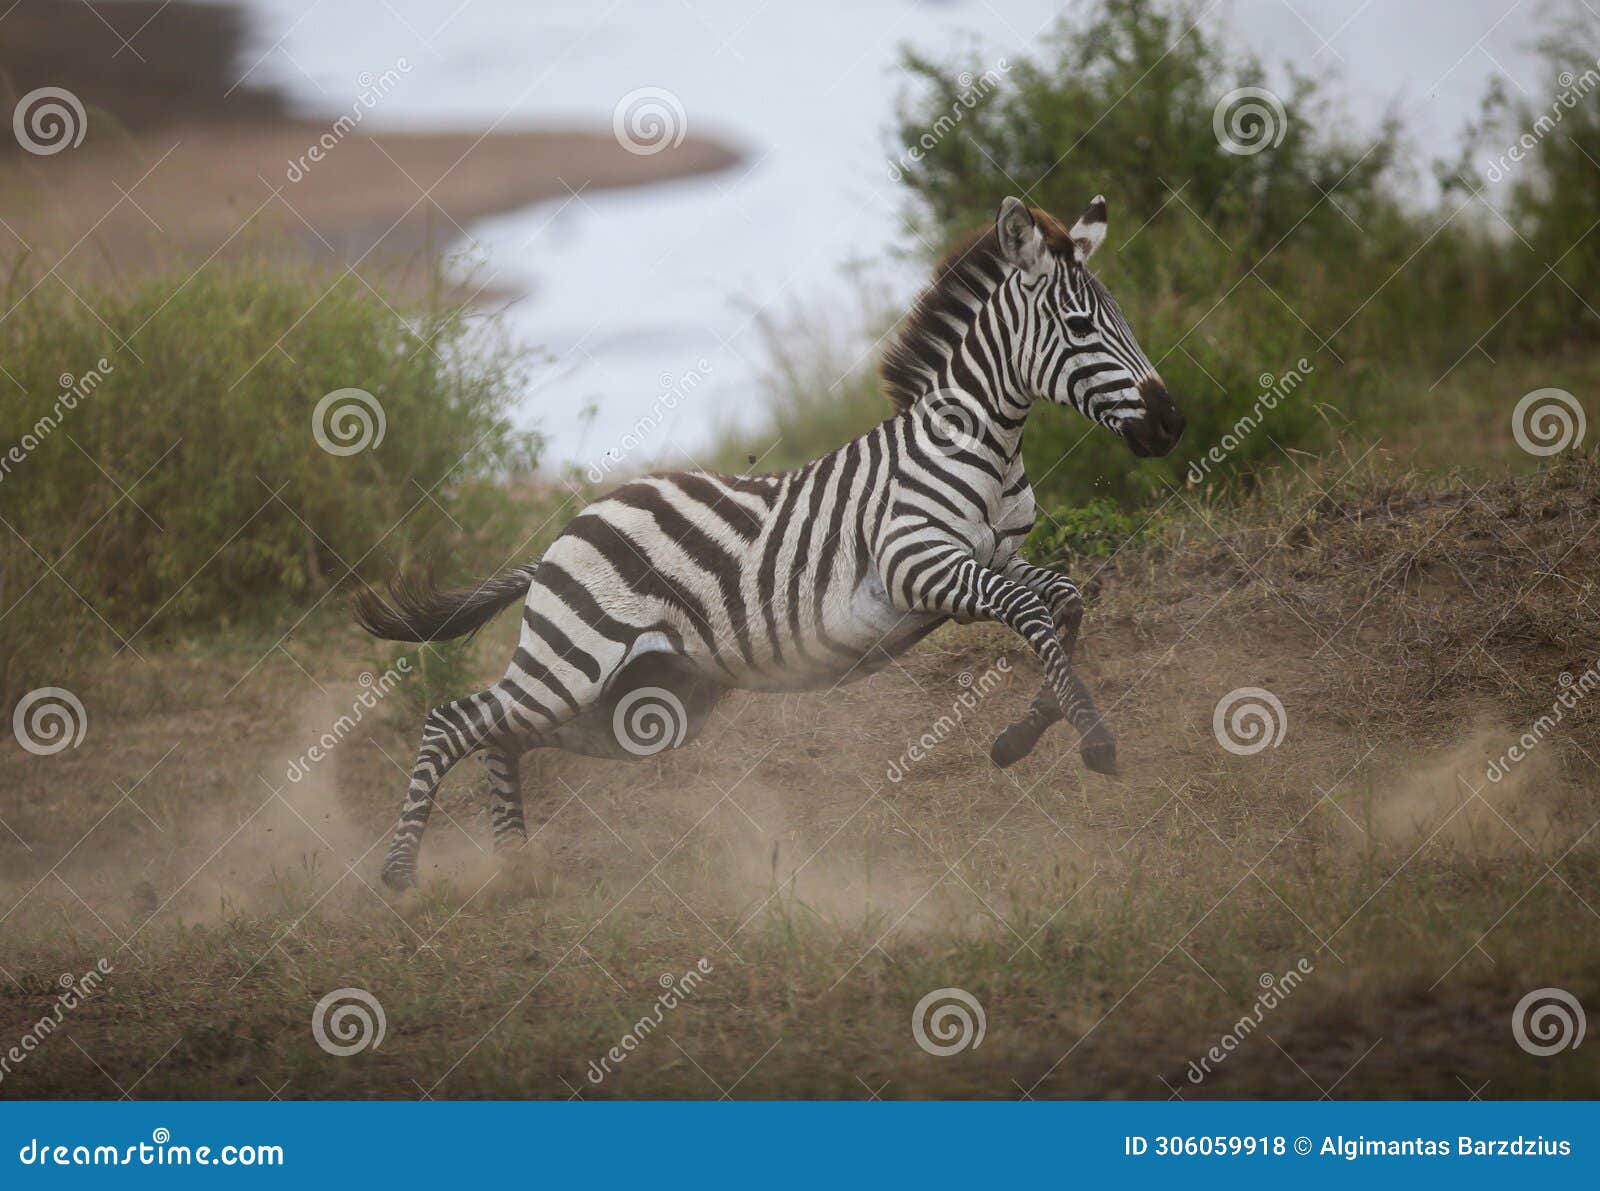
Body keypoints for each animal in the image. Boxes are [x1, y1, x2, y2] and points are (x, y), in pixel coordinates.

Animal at [357, 195, 1184, 890]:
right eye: (1080, 327)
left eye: (1120, 319)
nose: (1172, 421)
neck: (982, 445)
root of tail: (558, 541)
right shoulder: (918, 565)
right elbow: (1033, 613)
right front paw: (1093, 739)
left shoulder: (995, 559)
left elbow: (1065, 602)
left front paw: (1022, 735)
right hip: (572, 660)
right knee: (454, 720)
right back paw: (401, 872)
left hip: (648, 703)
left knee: (504, 736)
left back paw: (516, 866)